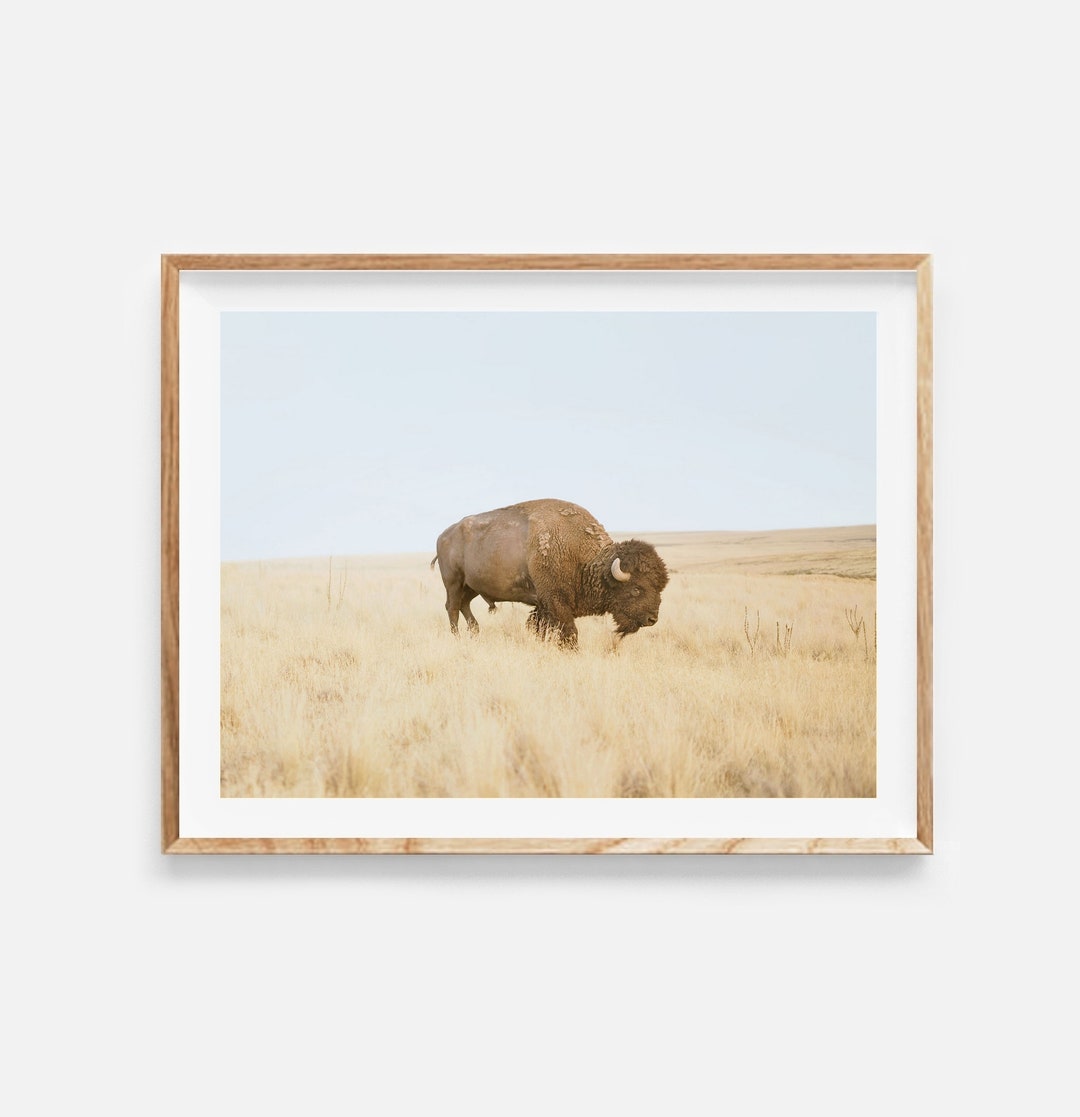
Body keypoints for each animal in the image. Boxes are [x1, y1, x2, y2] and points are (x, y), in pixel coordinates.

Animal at [431, 499, 669, 647]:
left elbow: (539, 627)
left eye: (660, 588)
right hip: (454, 582)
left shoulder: (544, 605)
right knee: (452, 608)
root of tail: (443, 535)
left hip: (472, 586)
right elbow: (569, 632)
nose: (652, 618)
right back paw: (457, 637)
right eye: (636, 588)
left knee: (464, 605)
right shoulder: (555, 601)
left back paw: (475, 632)